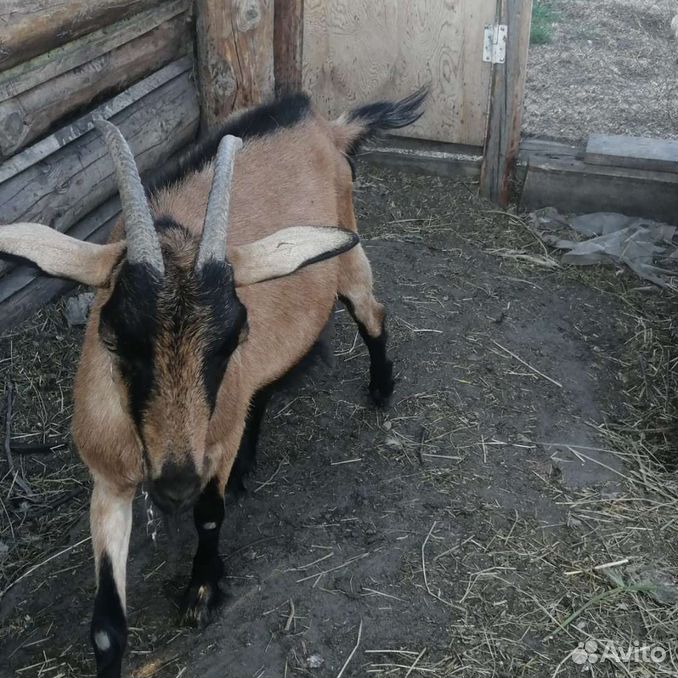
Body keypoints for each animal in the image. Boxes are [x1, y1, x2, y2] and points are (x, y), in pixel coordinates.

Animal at [0, 89, 426, 677]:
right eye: (113, 334)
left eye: (230, 337)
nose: (176, 482)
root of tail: (327, 125)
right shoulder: (108, 478)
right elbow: (107, 628)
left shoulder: (213, 441)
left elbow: (208, 516)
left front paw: (201, 593)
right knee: (263, 388)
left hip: (347, 256)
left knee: (372, 314)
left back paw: (381, 390)